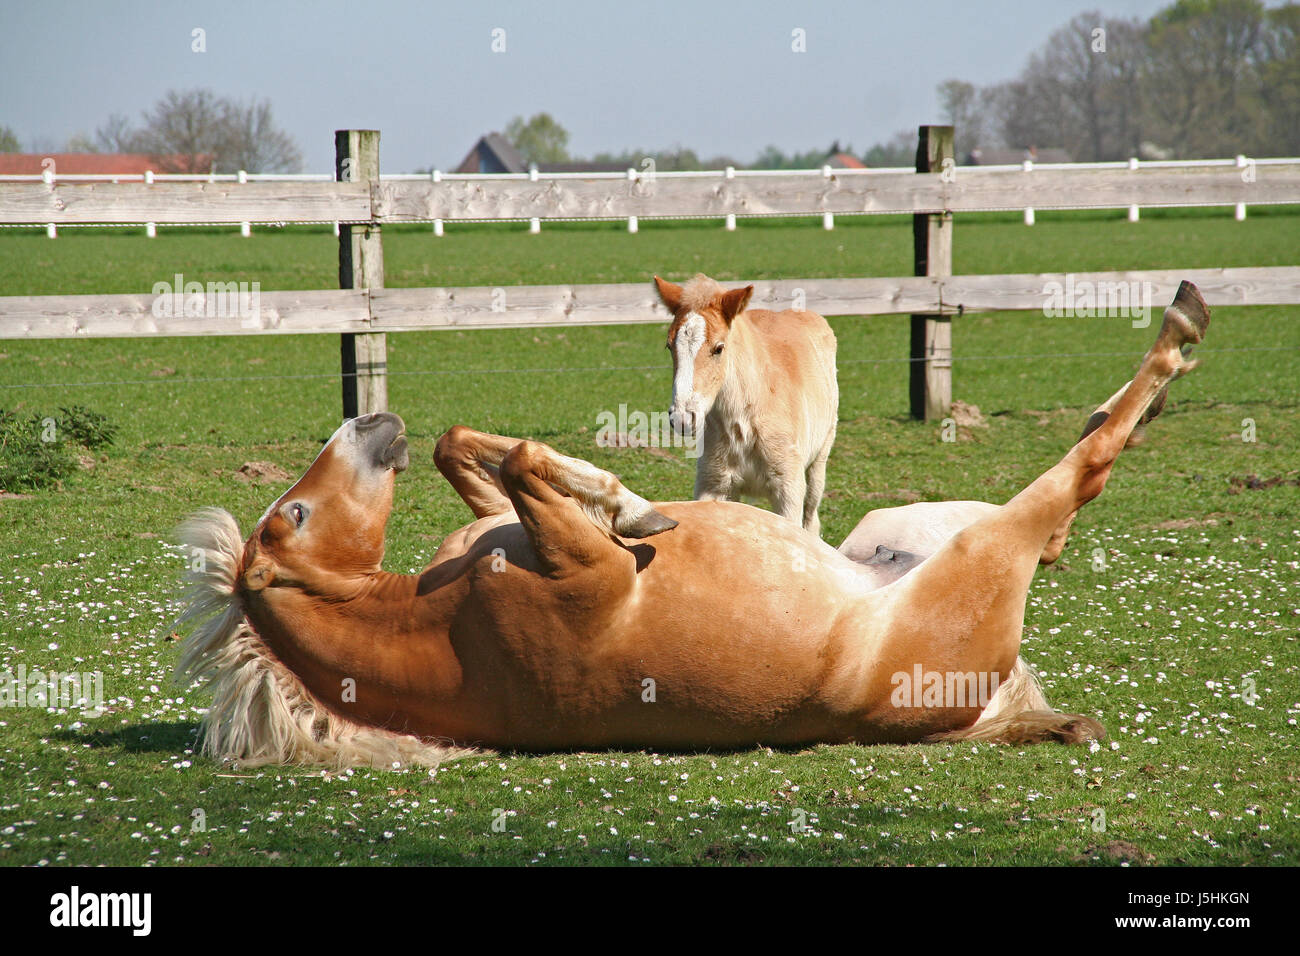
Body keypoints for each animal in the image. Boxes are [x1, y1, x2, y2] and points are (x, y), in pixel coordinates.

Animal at [653, 274, 839, 536]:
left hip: (818, 461)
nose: (682, 418)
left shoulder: (788, 489)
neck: (743, 424)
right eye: (669, 346)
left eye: (719, 348)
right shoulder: (714, 485)